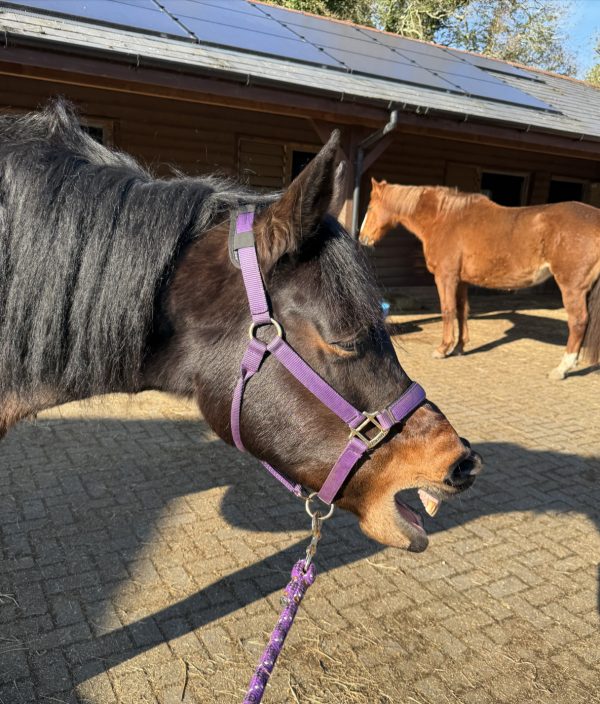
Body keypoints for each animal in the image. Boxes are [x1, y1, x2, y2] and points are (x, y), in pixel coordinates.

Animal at [360, 179, 600, 380]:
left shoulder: (446, 277)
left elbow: (447, 311)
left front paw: (443, 349)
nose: (363, 238)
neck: (445, 218)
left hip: (572, 287)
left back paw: (562, 368)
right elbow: (462, 311)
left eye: (370, 207)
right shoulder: (461, 281)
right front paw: (459, 347)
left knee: (578, 321)